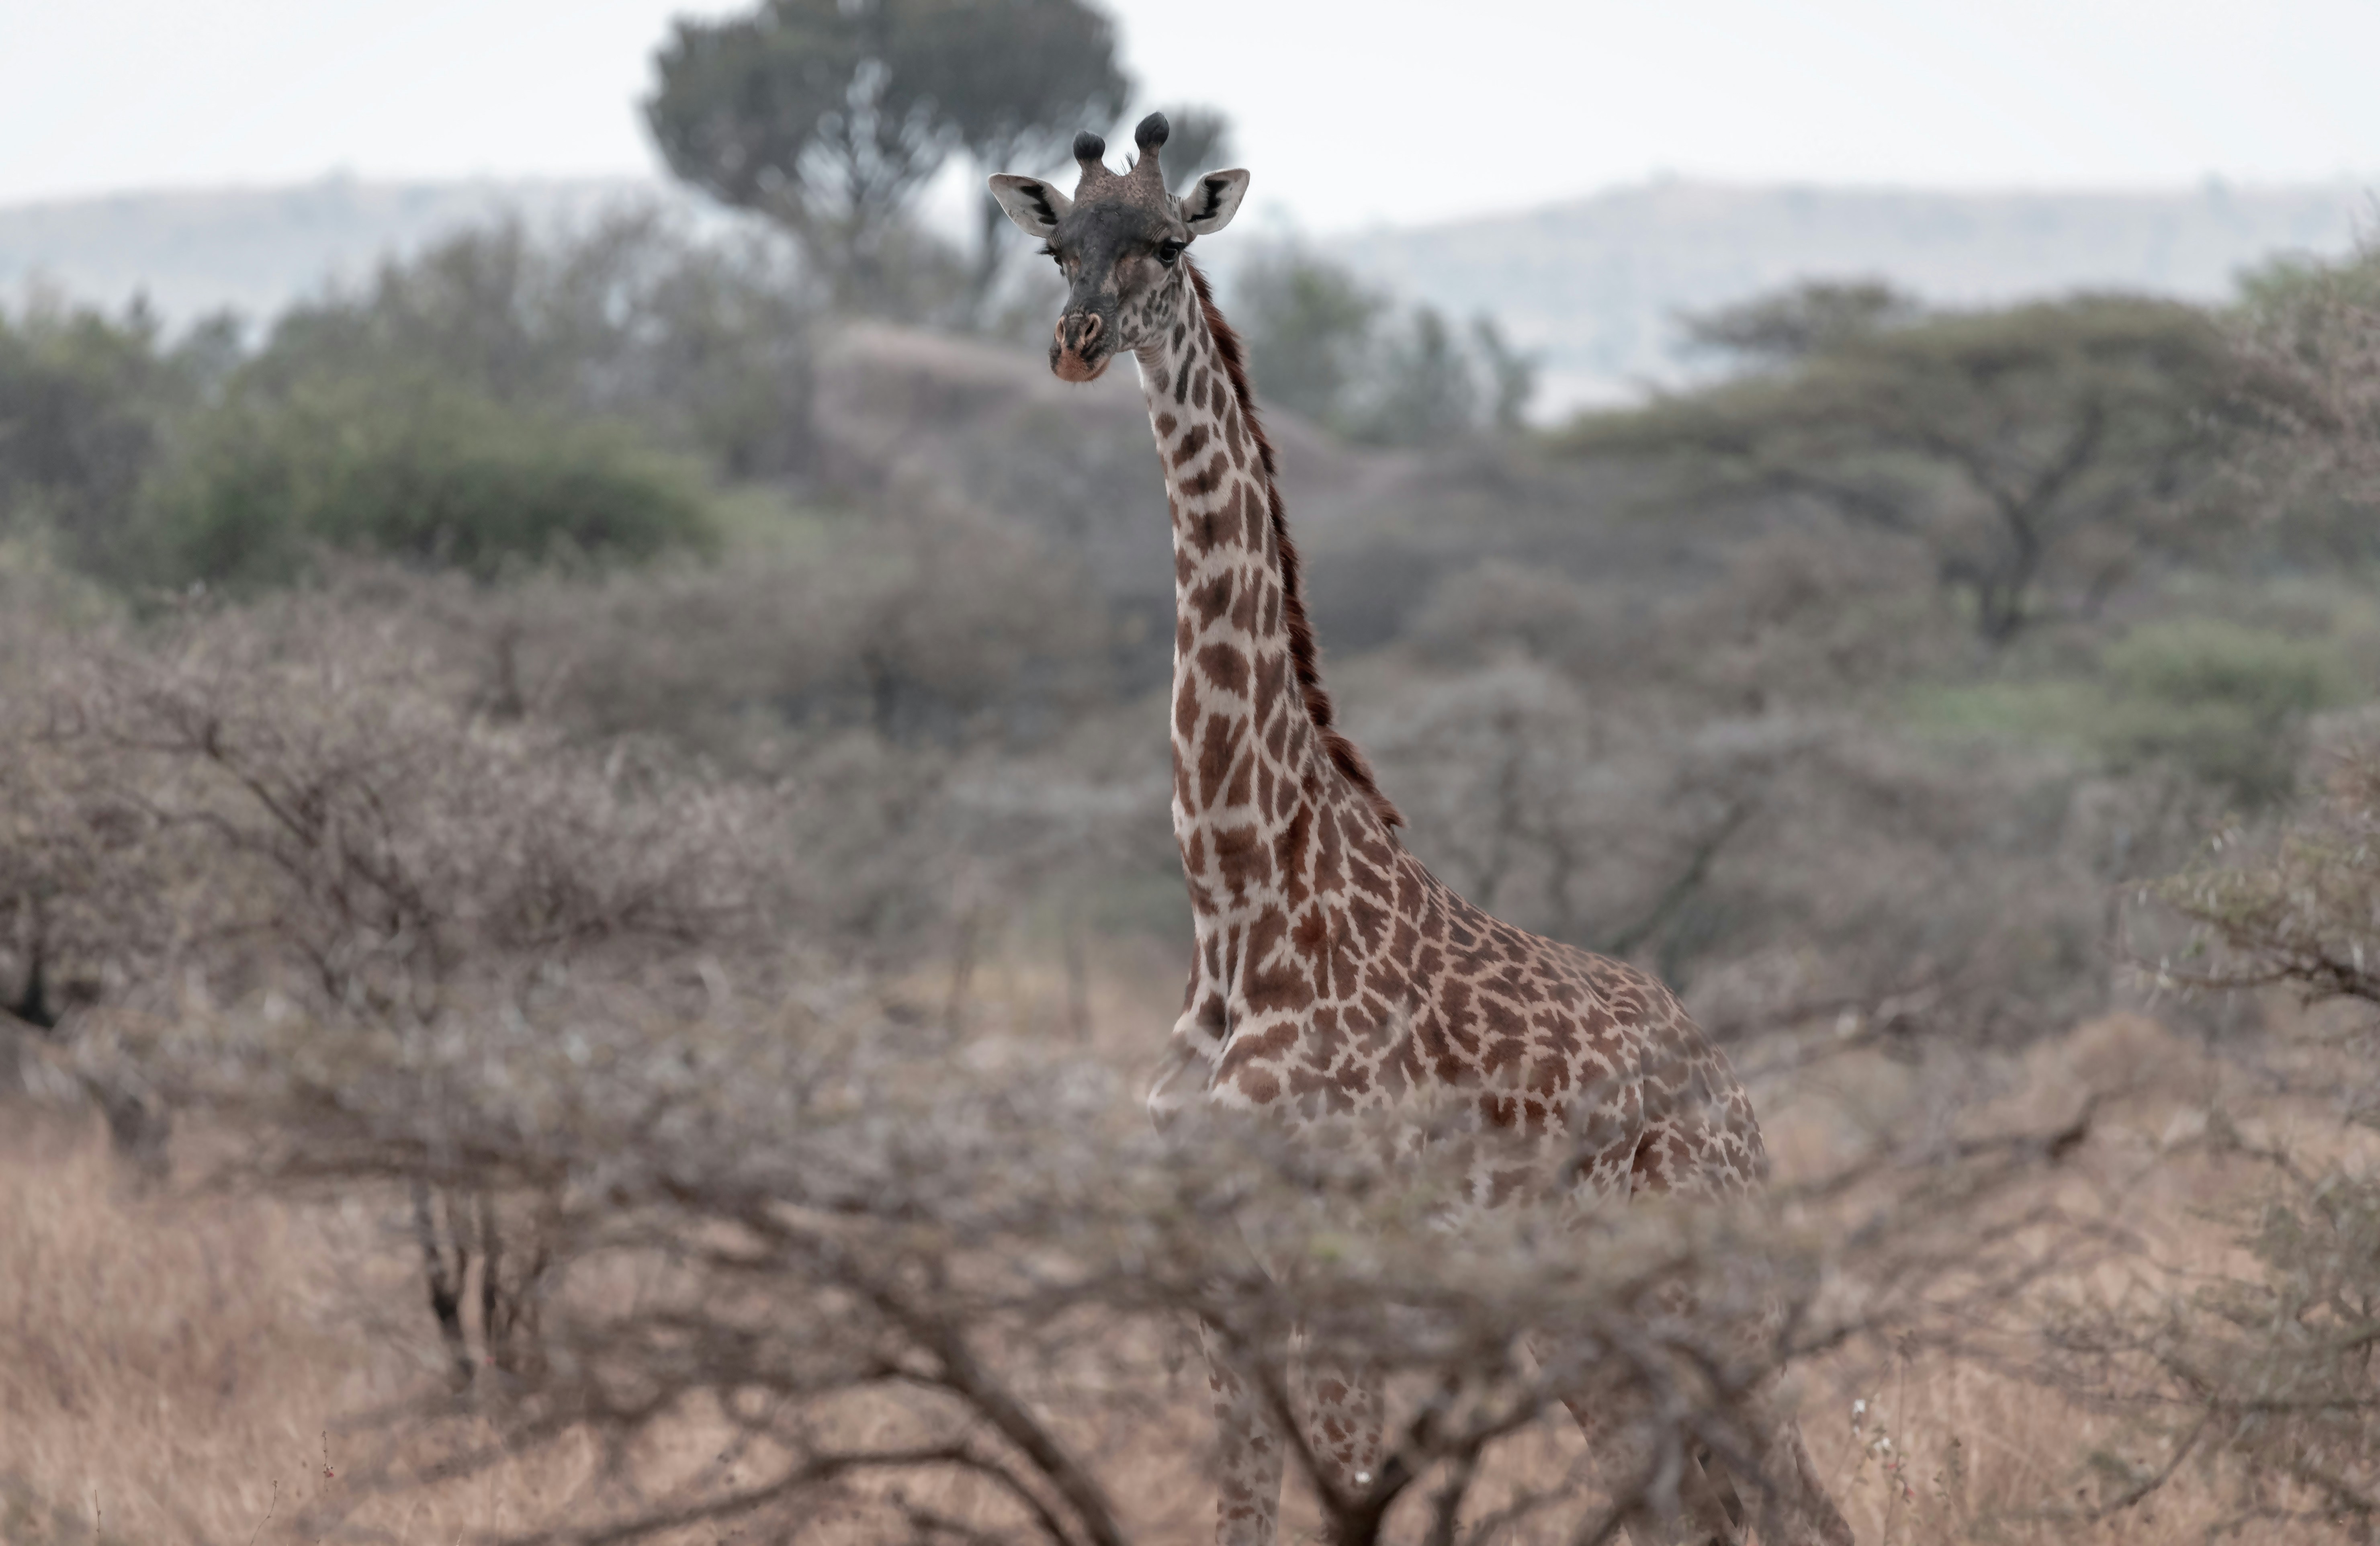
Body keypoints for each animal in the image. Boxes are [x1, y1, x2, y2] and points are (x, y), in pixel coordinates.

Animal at [990, 115, 1851, 1546]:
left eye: (1165, 241)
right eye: (1059, 247)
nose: (1077, 341)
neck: (1238, 894)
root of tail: (1739, 1099)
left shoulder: (1343, 1278)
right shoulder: (1217, 1287)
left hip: (1707, 1301)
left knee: (1798, 1494)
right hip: (1586, 1339)